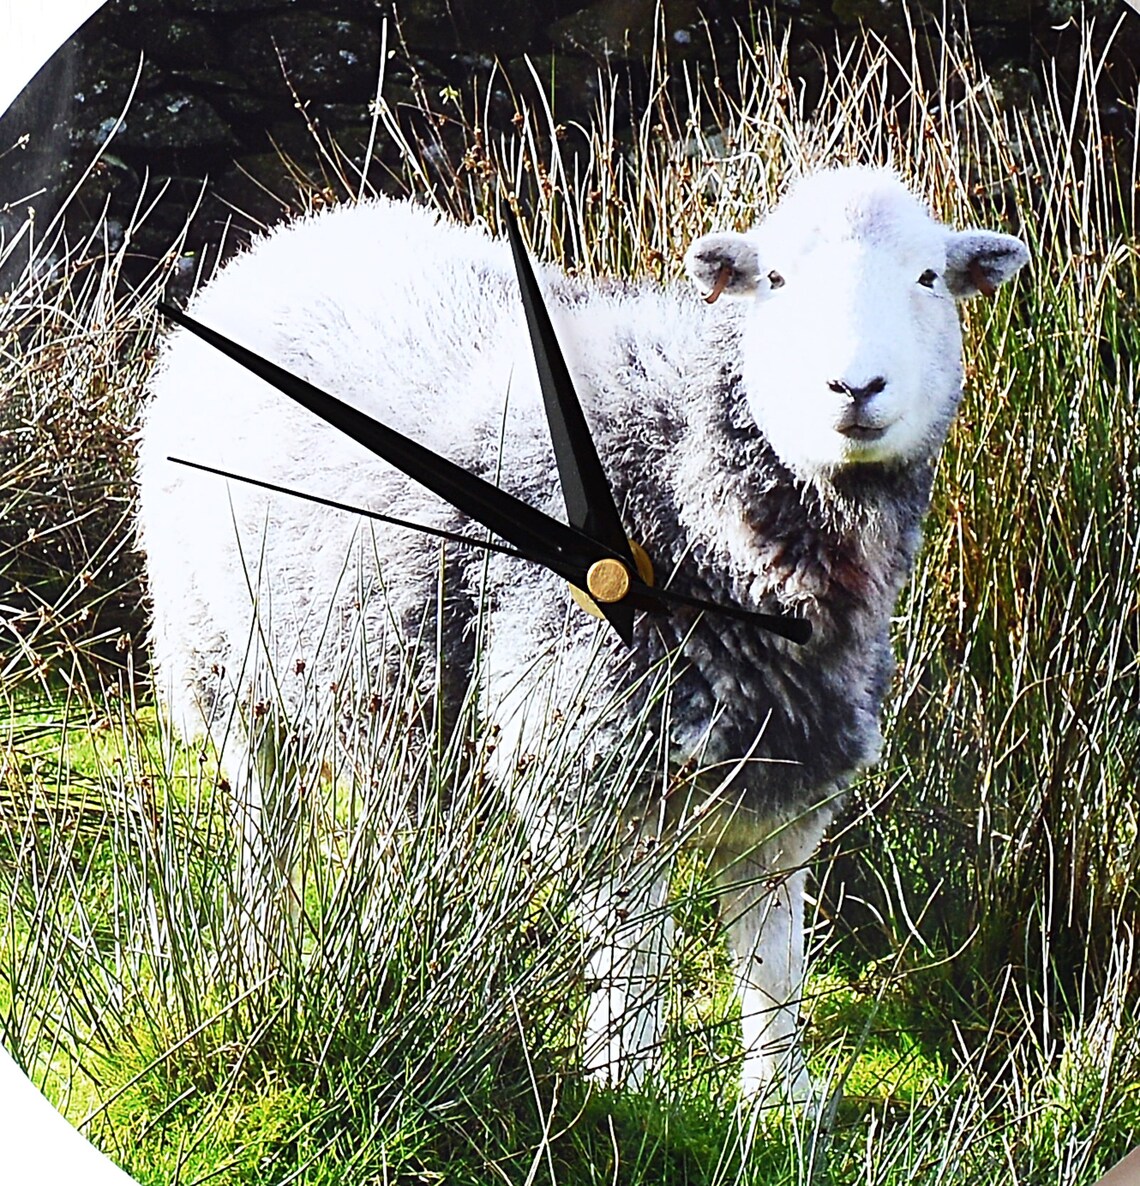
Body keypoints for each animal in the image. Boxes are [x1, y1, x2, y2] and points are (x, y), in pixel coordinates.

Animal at [135, 164, 1029, 1100]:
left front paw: (782, 1096)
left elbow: (774, 954)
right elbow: (637, 954)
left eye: (928, 278)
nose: (854, 389)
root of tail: (299, 235)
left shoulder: (790, 779)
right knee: (266, 827)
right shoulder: (591, 770)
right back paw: (263, 959)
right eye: (777, 280)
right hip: (224, 661)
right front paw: (629, 1088)